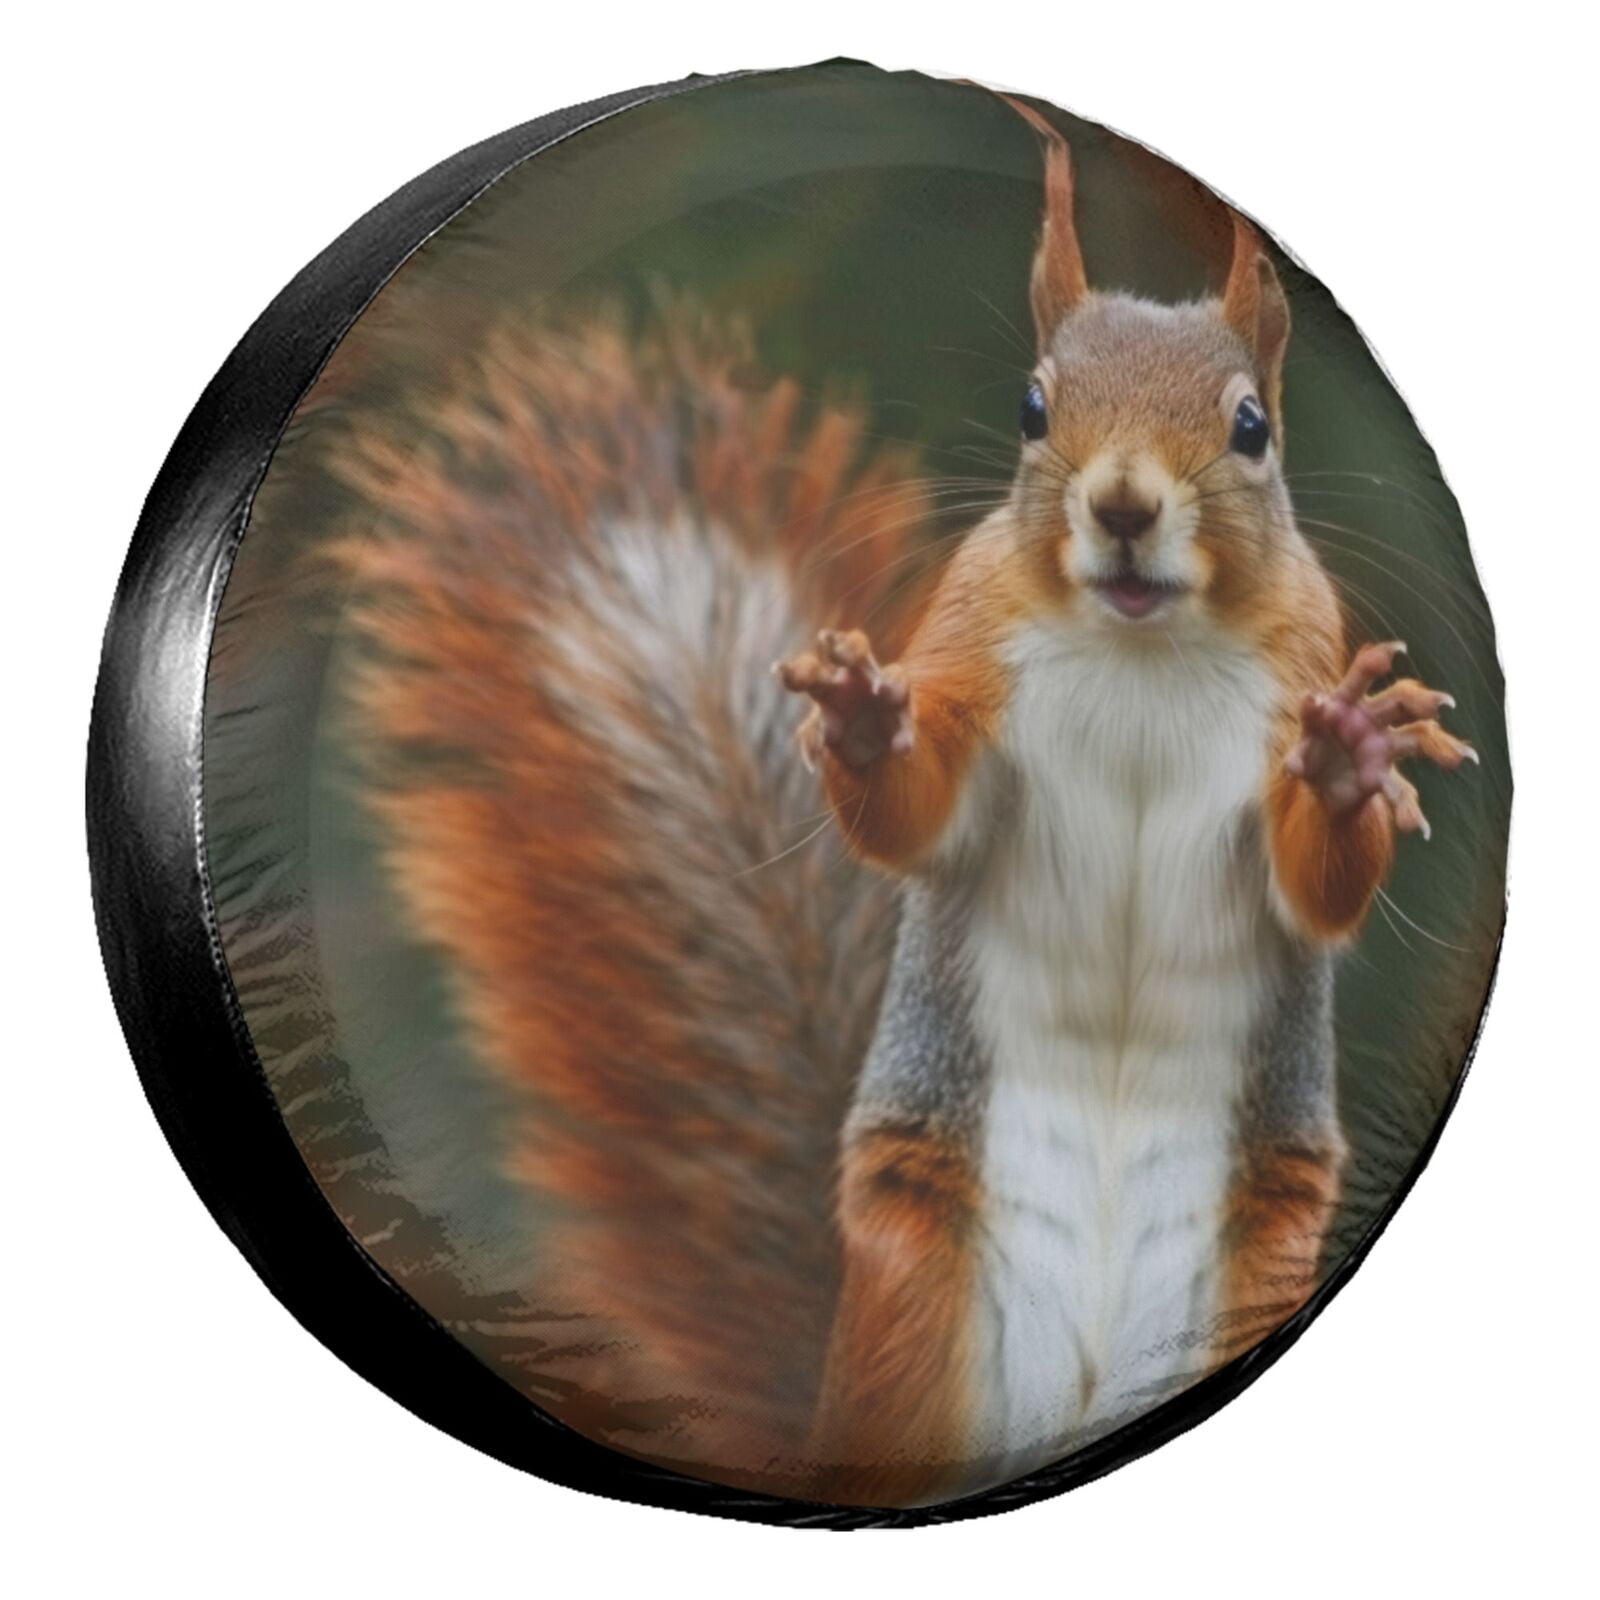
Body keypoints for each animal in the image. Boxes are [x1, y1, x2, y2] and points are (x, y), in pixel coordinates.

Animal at [332, 96, 1475, 1508]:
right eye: (1033, 406)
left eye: (1252, 426)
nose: (1122, 503)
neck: (1137, 649)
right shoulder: (969, 663)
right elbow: (918, 816)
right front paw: (862, 722)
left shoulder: (1303, 661)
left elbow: (1319, 885)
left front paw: (1351, 756)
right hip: (919, 1307)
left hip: (1244, 1283)